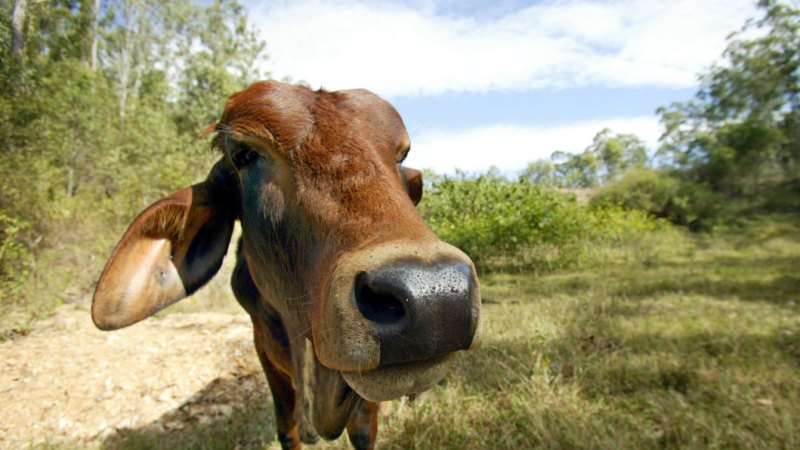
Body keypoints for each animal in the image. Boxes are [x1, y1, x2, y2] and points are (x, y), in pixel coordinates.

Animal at [91, 80, 482, 449]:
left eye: (401, 156)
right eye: (245, 154)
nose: (436, 298)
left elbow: (363, 431)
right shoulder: (267, 358)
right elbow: (287, 430)